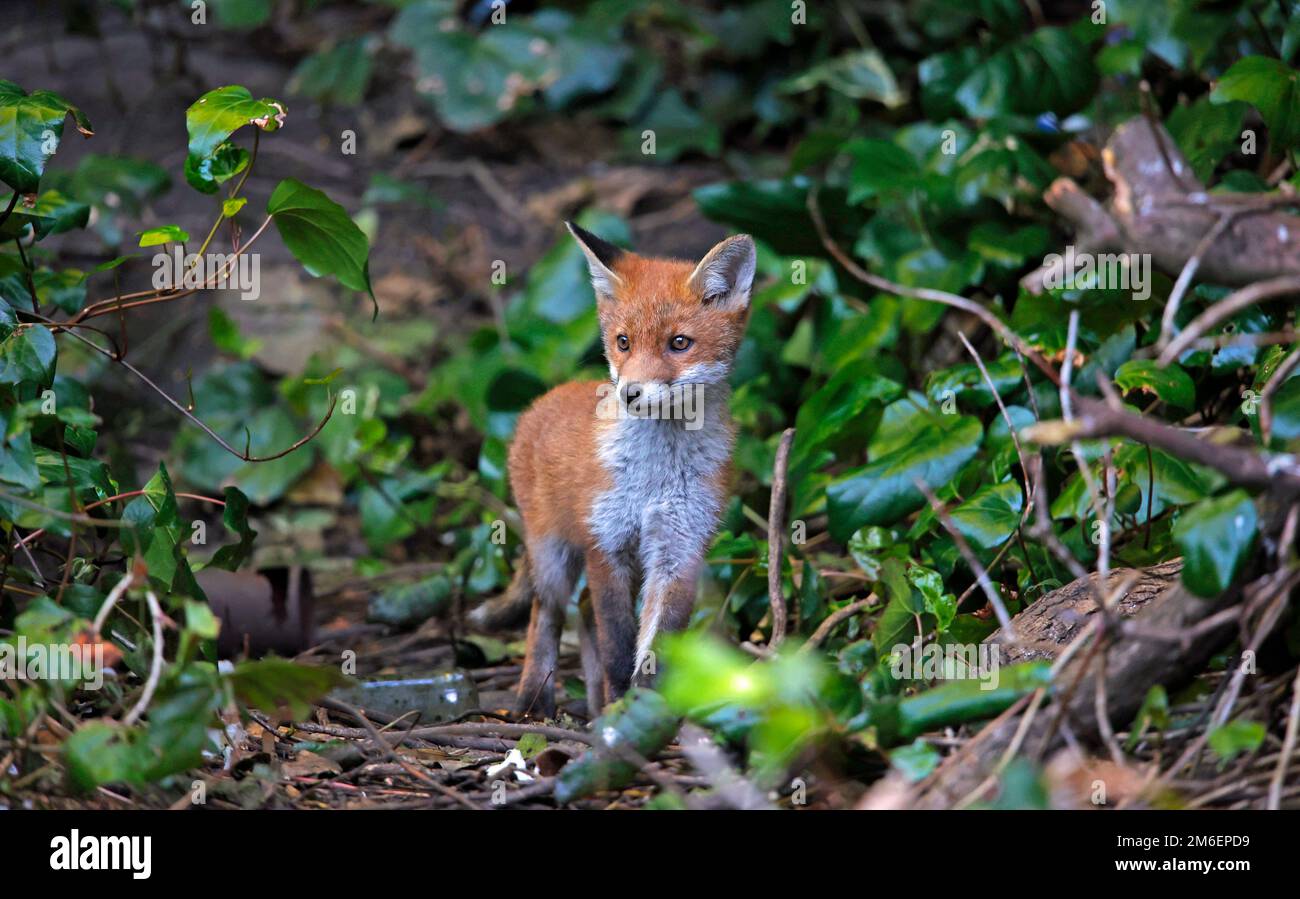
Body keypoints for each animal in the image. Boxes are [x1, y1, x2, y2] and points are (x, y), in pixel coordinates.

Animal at [494, 222, 756, 718]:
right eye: (623, 342)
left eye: (679, 343)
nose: (630, 392)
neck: (656, 476)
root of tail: (542, 401)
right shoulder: (606, 543)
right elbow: (617, 645)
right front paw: (621, 709)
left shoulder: (679, 549)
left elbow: (656, 646)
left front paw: (644, 710)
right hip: (552, 555)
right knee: (547, 615)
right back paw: (533, 702)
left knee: (581, 610)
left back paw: (593, 705)